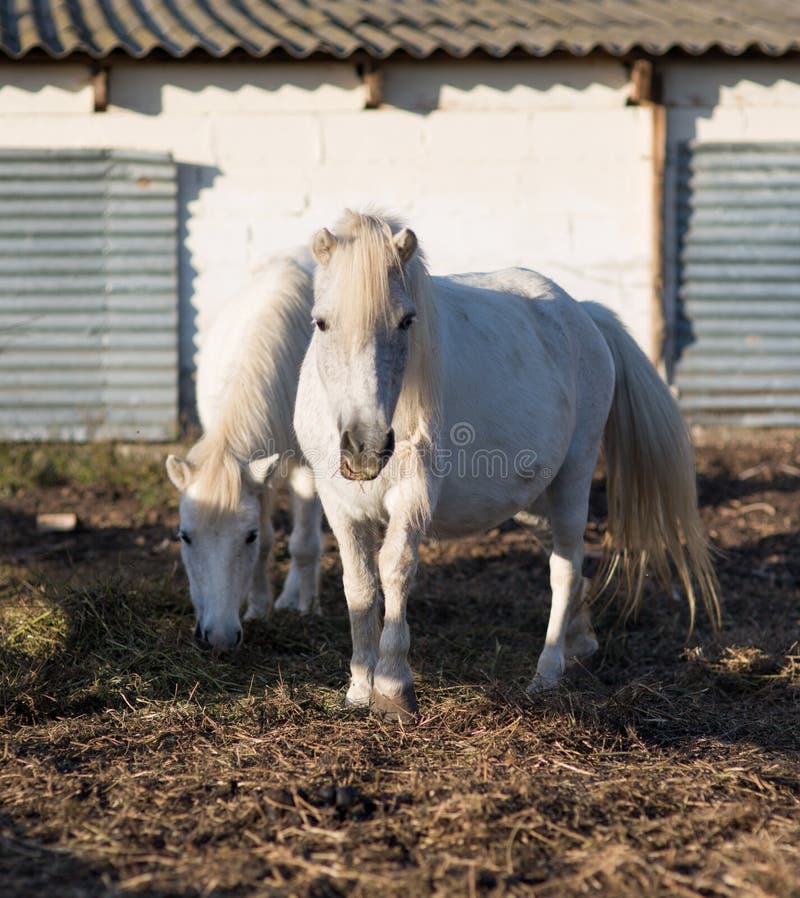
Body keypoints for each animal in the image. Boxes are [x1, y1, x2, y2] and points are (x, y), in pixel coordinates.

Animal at [166, 253, 323, 651]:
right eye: (184, 536)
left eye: (245, 536)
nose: (219, 638)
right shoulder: (257, 476)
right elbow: (269, 542)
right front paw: (258, 608)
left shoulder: (307, 469)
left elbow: (302, 543)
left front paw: (308, 609)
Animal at [293, 209, 720, 721]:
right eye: (321, 323)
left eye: (406, 321)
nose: (366, 446)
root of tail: (583, 314)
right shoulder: (339, 504)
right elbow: (358, 586)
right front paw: (358, 689)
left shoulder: (413, 498)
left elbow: (394, 569)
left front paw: (393, 688)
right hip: (532, 502)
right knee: (565, 560)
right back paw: (580, 641)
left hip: (574, 479)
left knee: (565, 567)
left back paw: (549, 671)